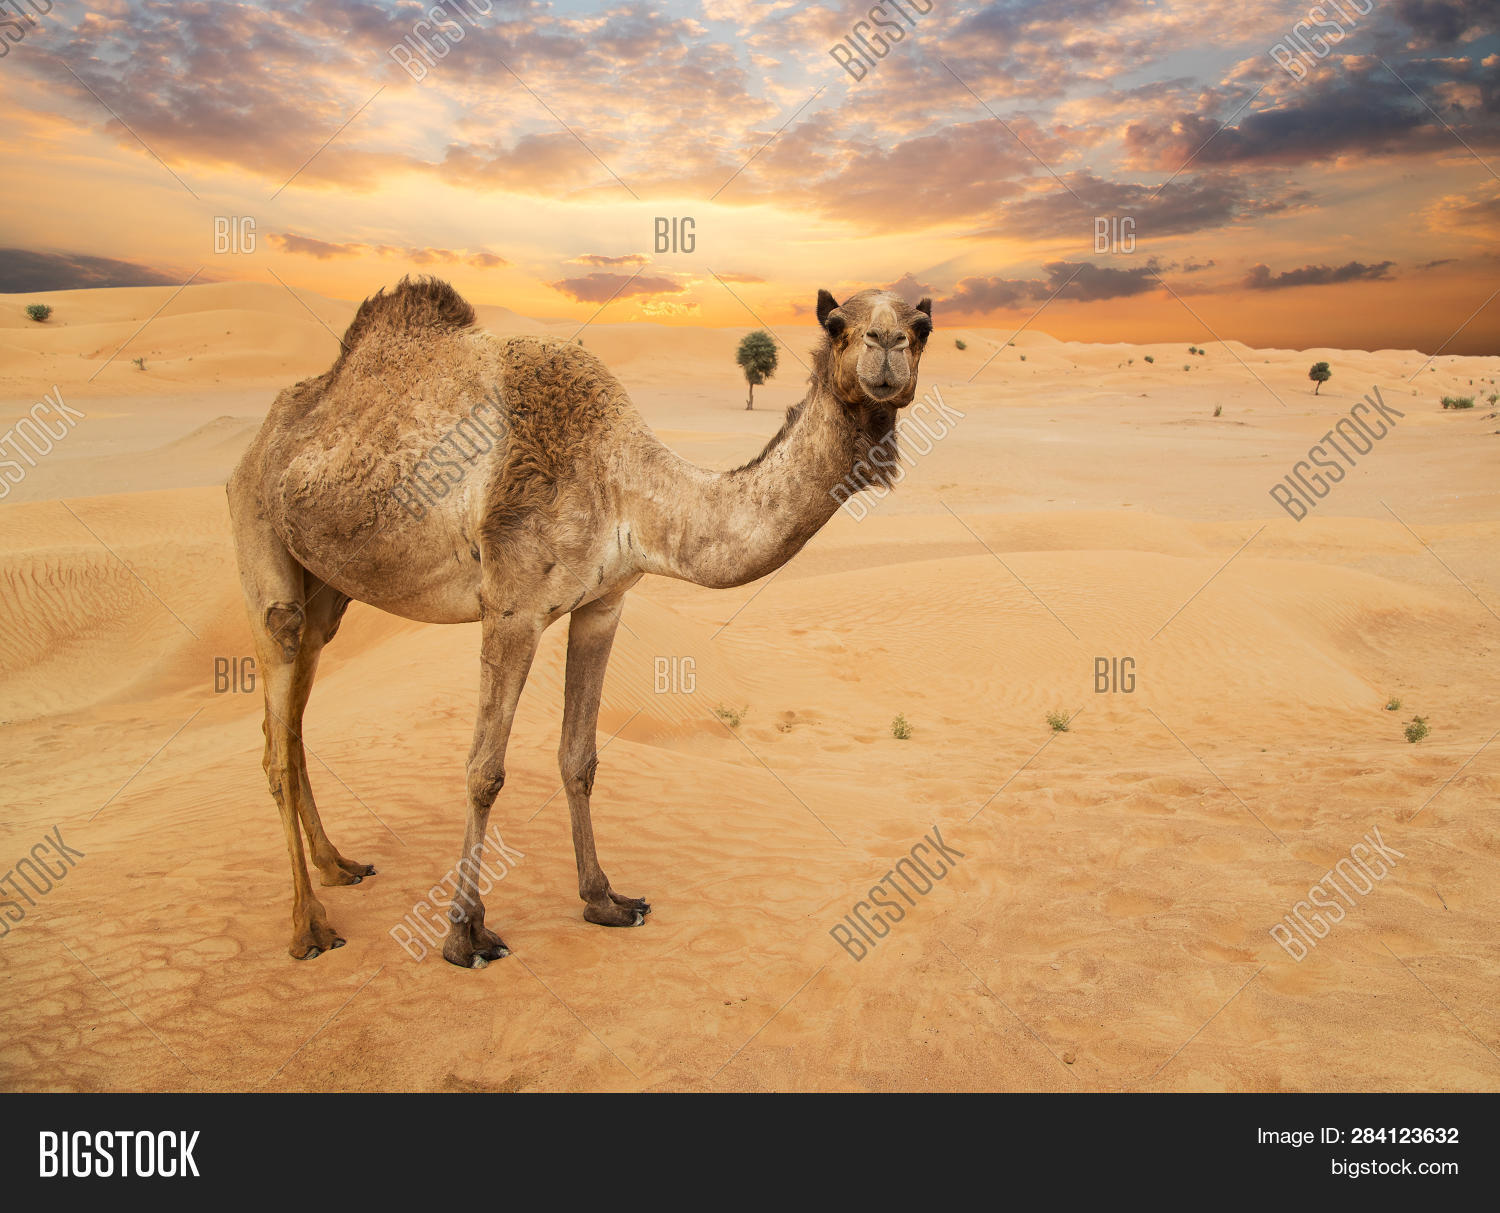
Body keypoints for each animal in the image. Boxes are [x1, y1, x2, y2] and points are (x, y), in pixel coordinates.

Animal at [227, 277, 932, 967]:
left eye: (921, 328)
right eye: (837, 326)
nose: (887, 345)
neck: (625, 489)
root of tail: (257, 443)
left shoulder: (603, 602)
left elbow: (579, 756)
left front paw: (604, 900)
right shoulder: (511, 606)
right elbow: (484, 770)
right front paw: (464, 934)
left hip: (328, 591)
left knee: (291, 724)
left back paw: (337, 865)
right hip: (260, 541)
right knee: (276, 729)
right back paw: (309, 926)